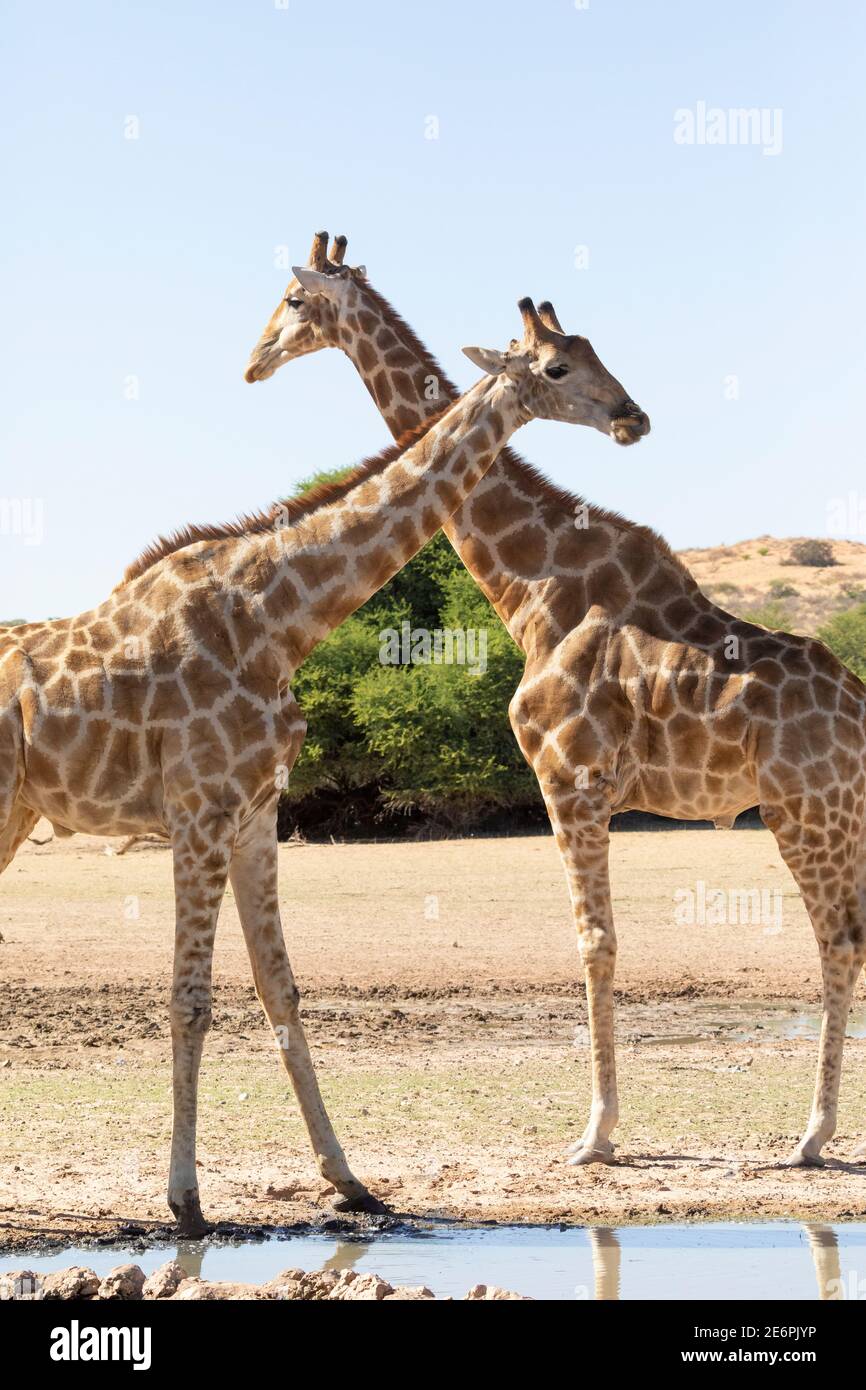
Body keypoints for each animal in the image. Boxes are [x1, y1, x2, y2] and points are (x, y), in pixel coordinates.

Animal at [0, 297, 647, 1234]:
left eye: (597, 350)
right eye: (558, 368)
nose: (633, 417)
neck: (278, 619)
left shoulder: (255, 814)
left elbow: (282, 990)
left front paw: (350, 1181)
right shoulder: (197, 812)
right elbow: (190, 1000)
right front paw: (185, 1199)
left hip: (17, 813)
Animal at [245, 232, 866, 1172]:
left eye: (291, 300)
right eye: (561, 361)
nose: (254, 359)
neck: (529, 586)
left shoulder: (568, 781)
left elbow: (595, 944)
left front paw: (596, 1134)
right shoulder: (578, 787)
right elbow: (600, 943)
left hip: (807, 811)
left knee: (837, 941)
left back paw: (812, 1135)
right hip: (834, 815)